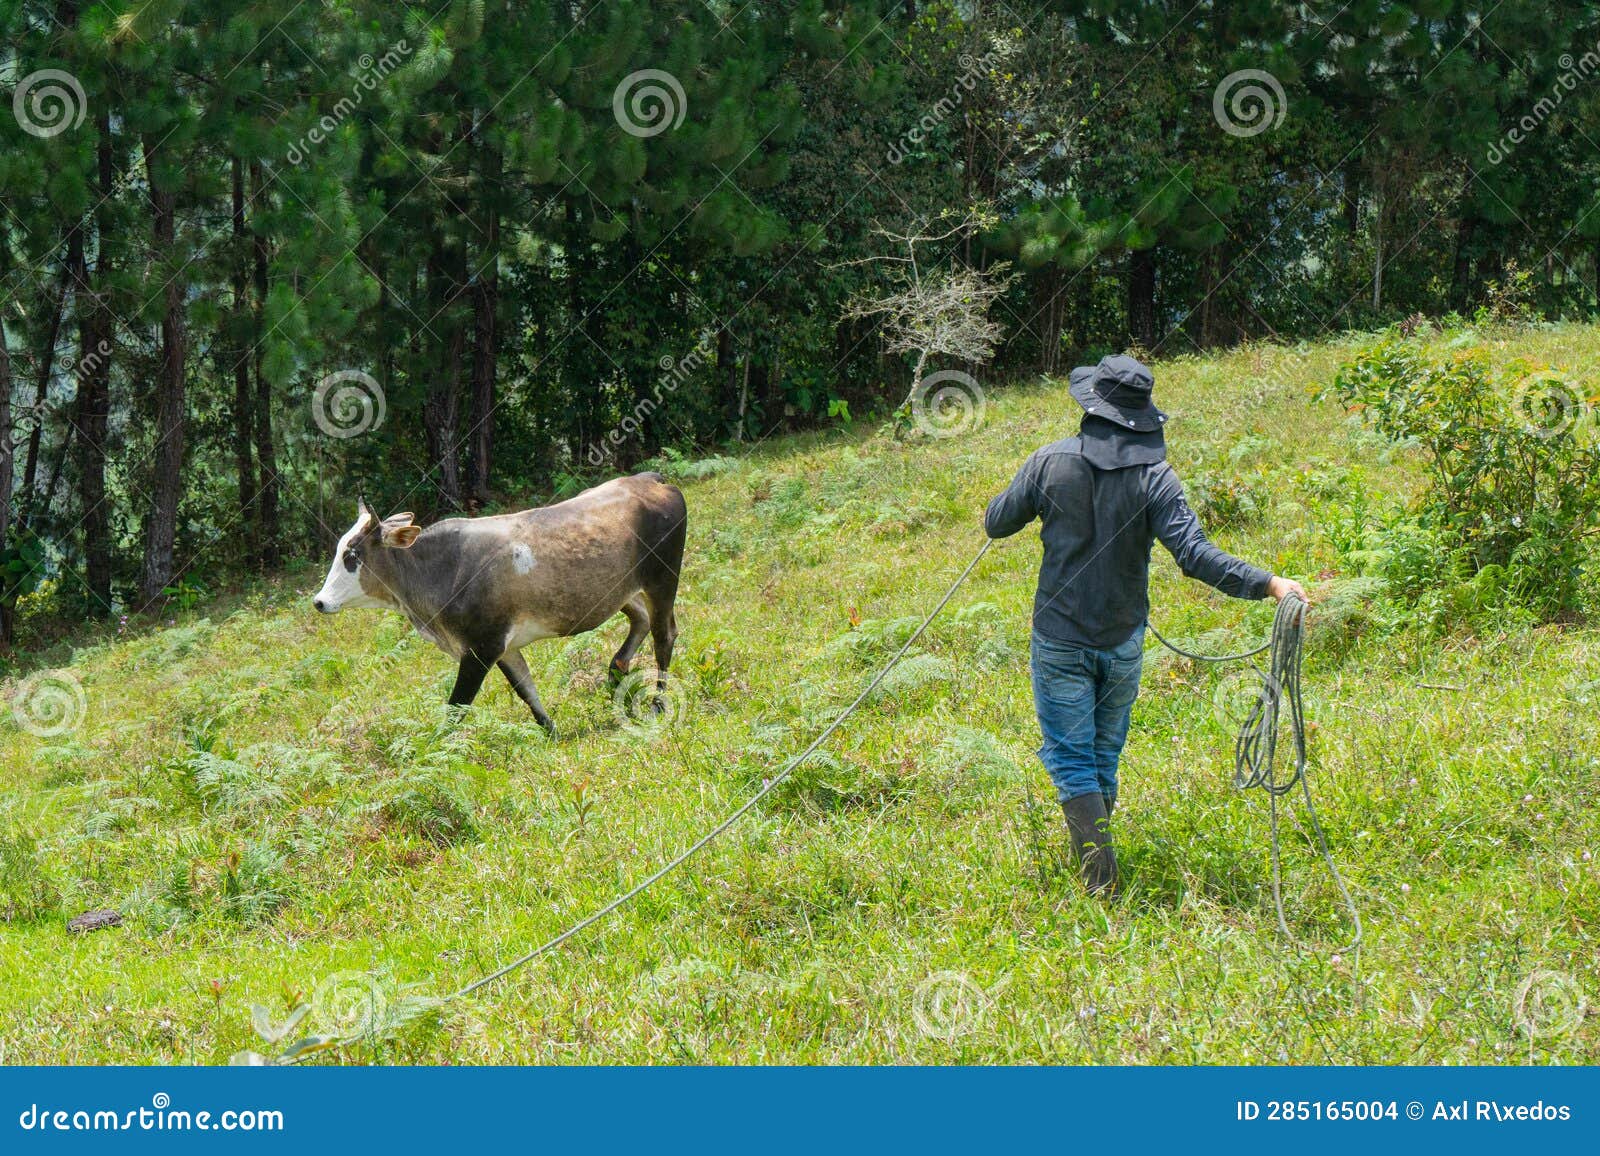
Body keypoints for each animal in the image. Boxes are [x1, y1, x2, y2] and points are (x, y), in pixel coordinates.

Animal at [312, 472, 686, 736]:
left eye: (352, 556)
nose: (319, 601)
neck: (440, 568)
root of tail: (649, 479)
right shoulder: (504, 647)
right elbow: (526, 689)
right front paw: (551, 731)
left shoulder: (482, 648)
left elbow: (457, 707)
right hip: (622, 591)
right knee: (639, 620)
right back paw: (615, 675)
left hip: (662, 580)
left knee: (664, 636)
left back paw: (657, 703)